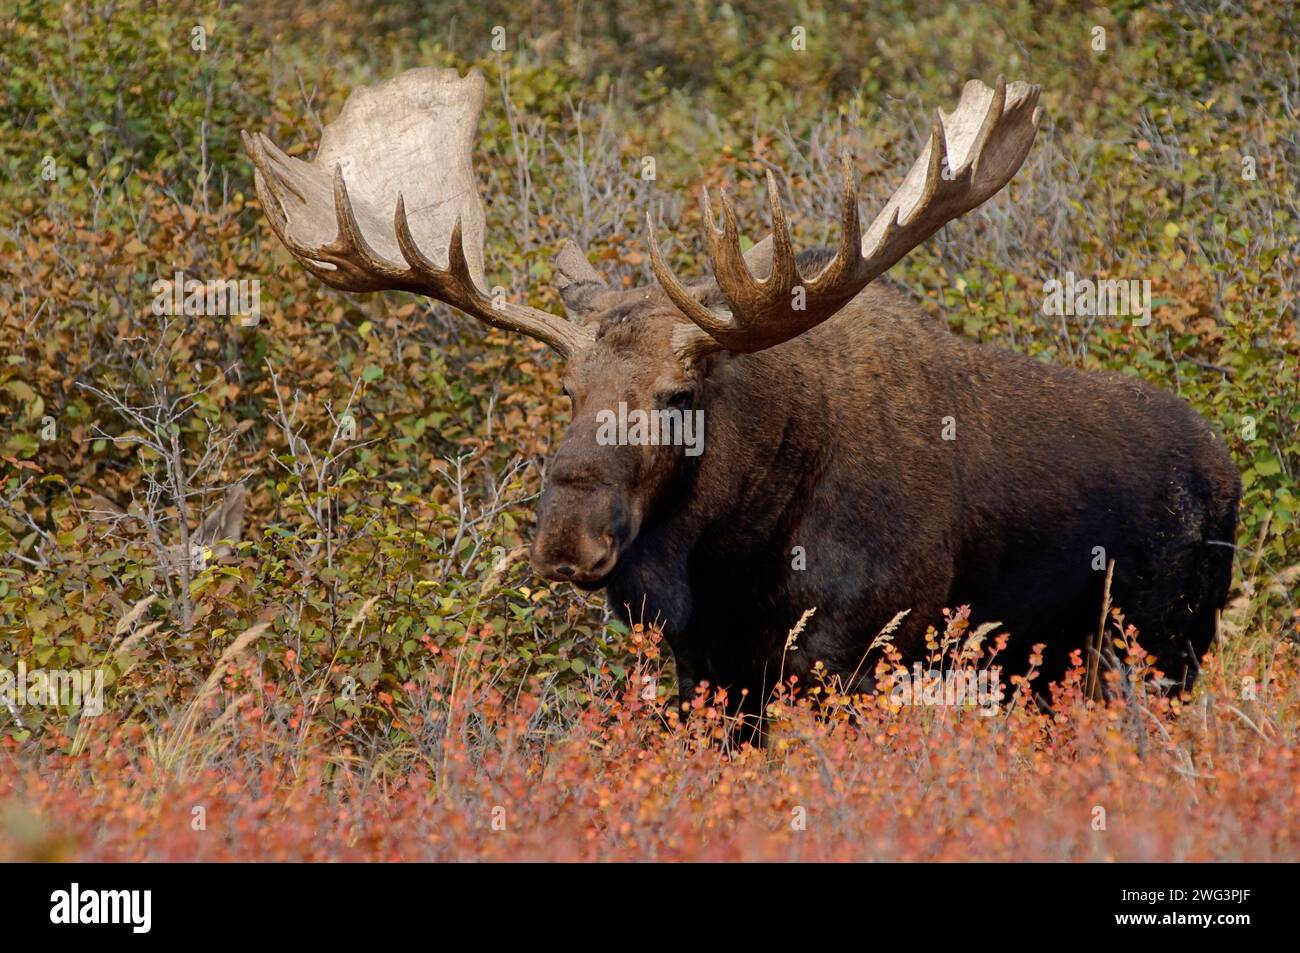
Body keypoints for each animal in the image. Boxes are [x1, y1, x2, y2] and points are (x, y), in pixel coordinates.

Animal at [244, 67, 1240, 737]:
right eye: (567, 390)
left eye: (680, 392)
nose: (566, 537)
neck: (736, 551)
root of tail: (1226, 468)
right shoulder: (710, 671)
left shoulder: (858, 654)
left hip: (1163, 647)